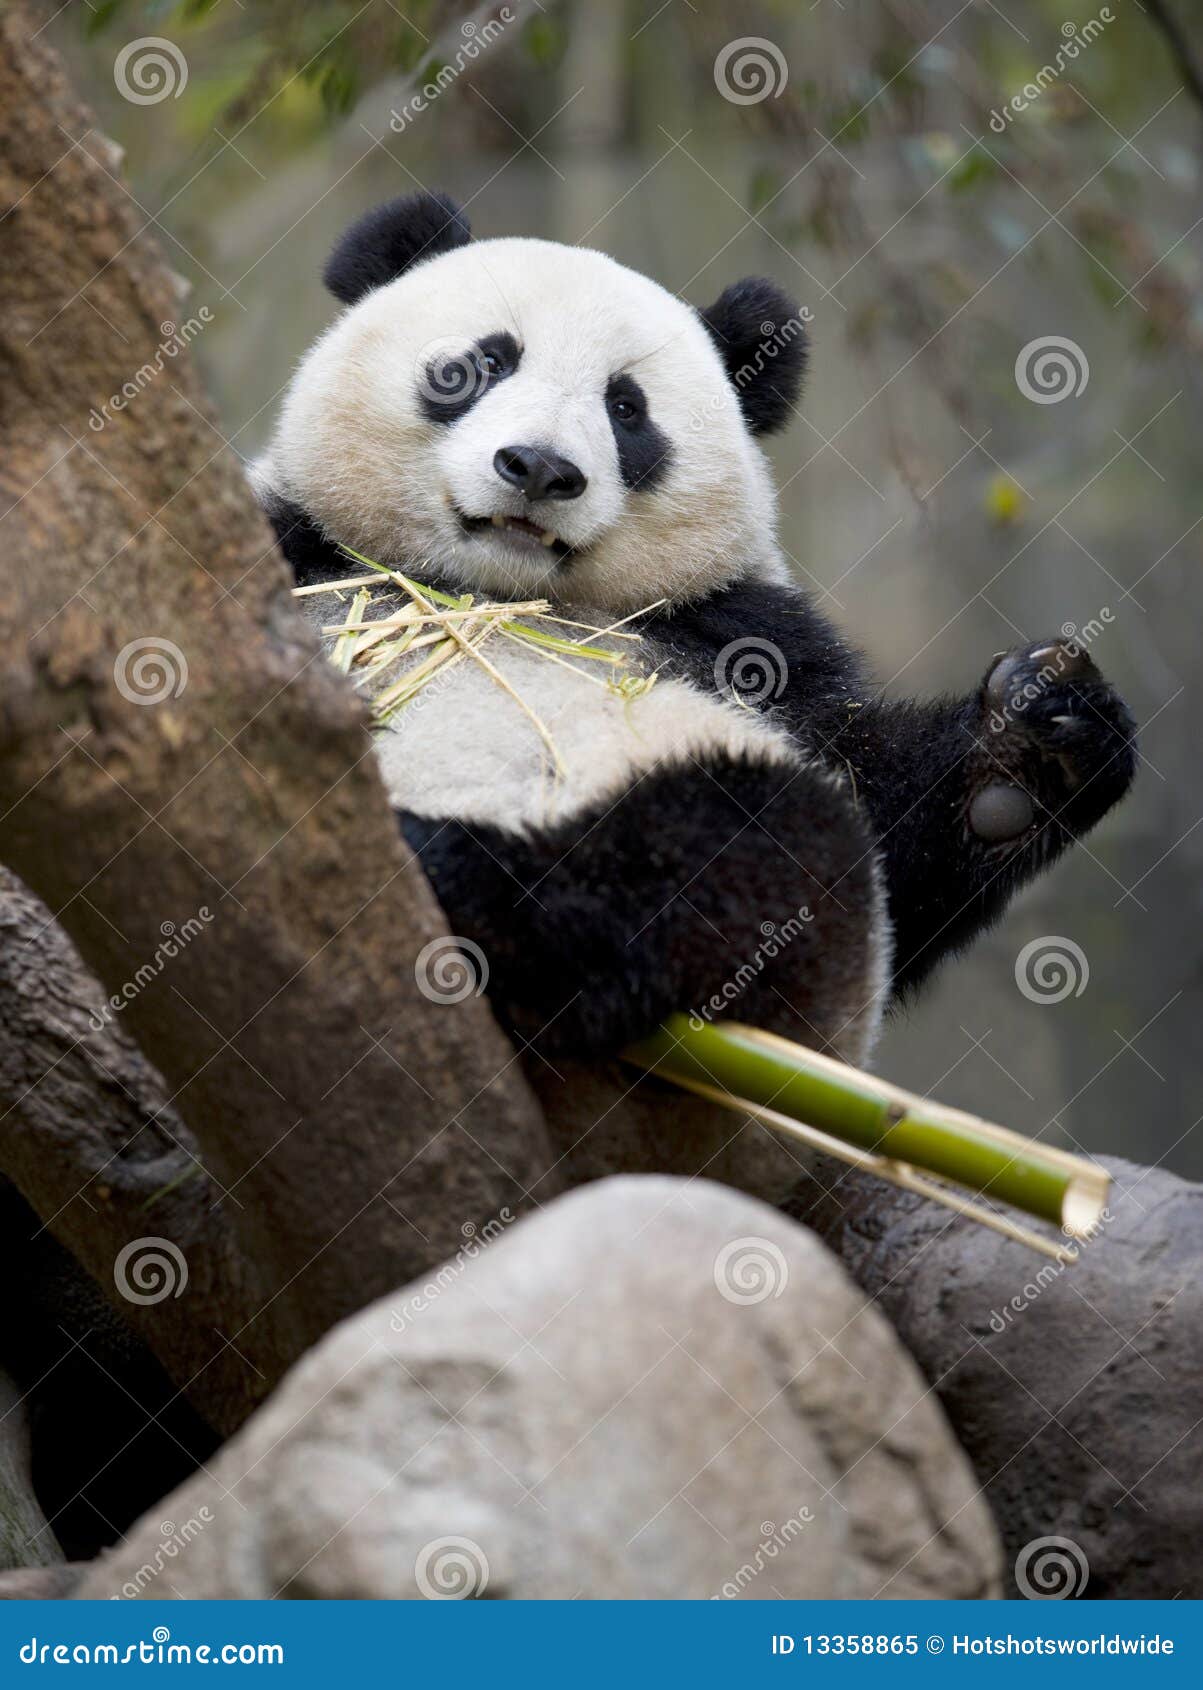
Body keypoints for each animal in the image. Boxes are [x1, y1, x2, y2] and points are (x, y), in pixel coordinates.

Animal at [255, 189, 1137, 1204]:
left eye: (626, 410)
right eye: (476, 365)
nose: (539, 469)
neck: (486, 592)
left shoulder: (740, 640)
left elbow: (880, 821)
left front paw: (1036, 737)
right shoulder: (298, 551)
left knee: (739, 847)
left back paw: (470, 884)